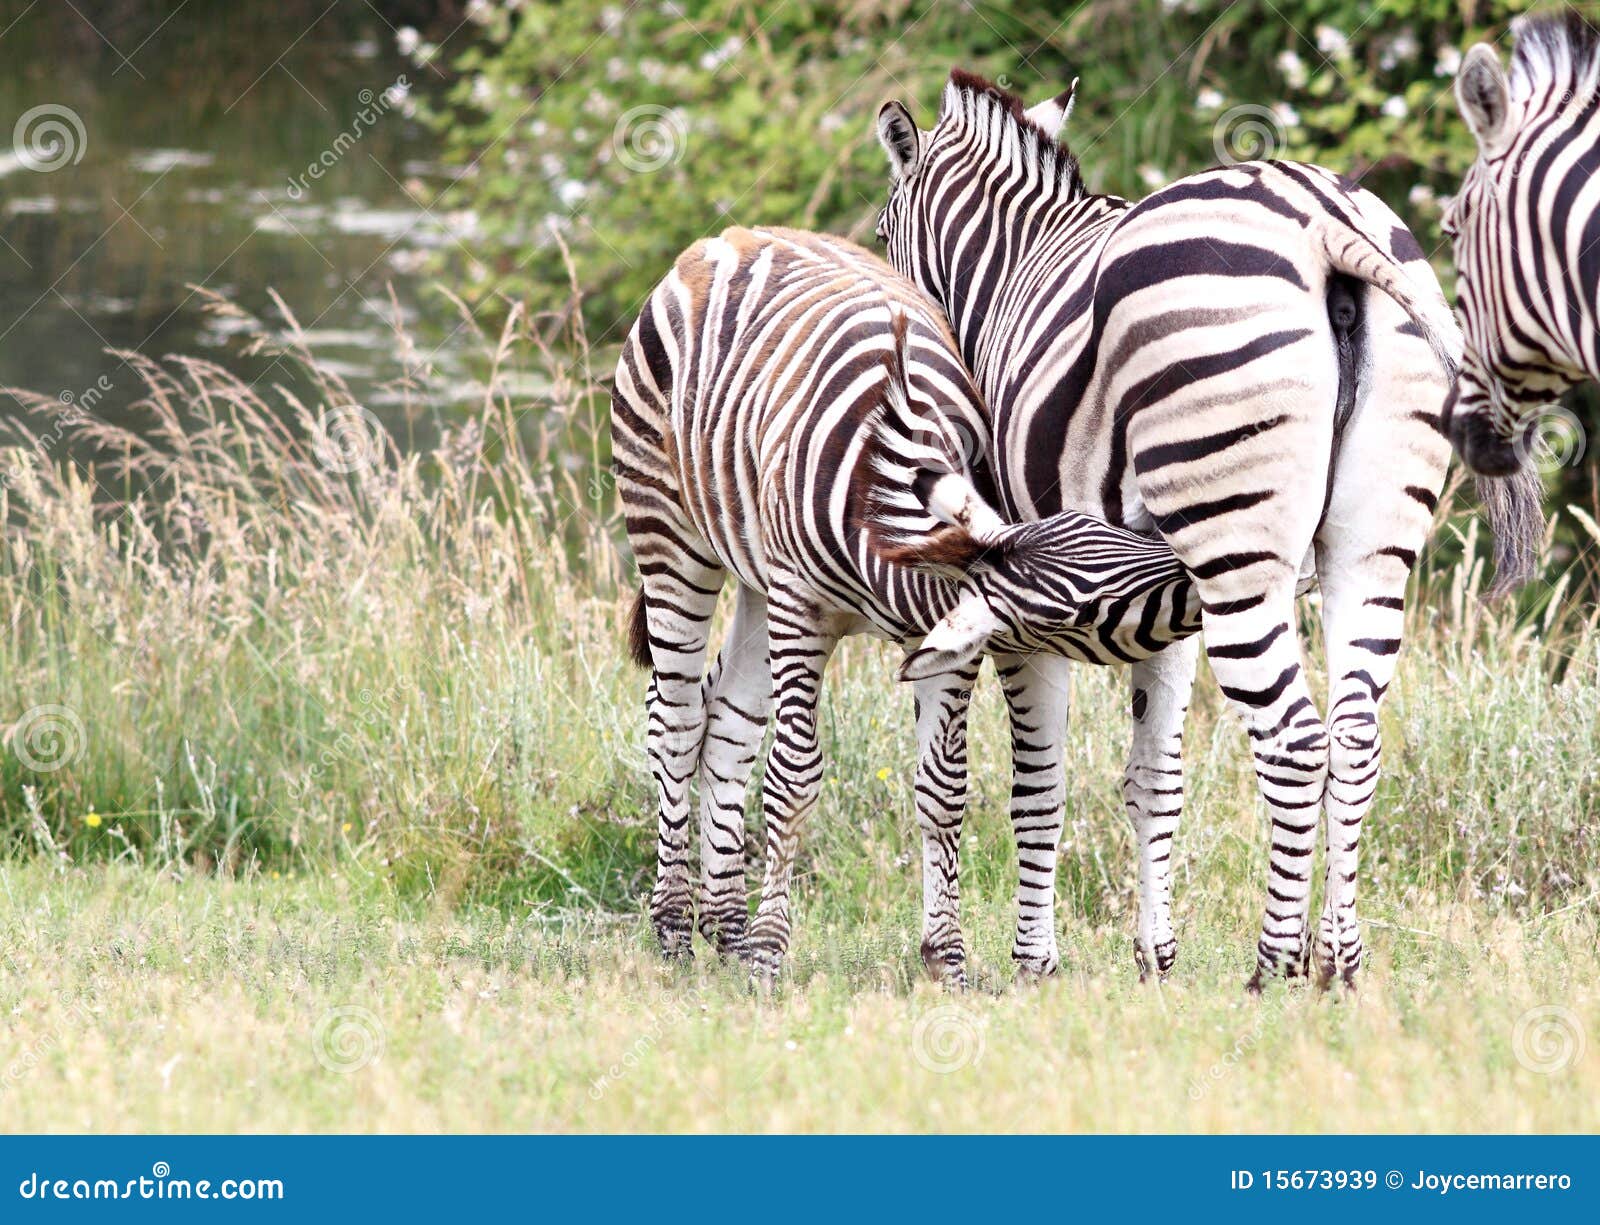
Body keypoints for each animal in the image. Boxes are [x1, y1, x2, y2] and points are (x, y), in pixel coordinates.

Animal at [612, 224, 1202, 983]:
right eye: (1098, 603)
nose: (1201, 565)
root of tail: (729, 237)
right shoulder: (802, 611)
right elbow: (794, 777)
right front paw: (772, 954)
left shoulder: (939, 640)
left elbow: (942, 789)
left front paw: (945, 957)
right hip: (669, 533)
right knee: (676, 722)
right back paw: (676, 928)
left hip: (755, 576)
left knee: (731, 717)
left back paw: (728, 926)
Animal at [873, 71, 1539, 989]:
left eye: (881, 234)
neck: (1012, 265)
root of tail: (1325, 217)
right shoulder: (1161, 601)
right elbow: (1153, 779)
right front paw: (1156, 957)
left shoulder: (1027, 597)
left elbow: (1037, 787)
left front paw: (1033, 962)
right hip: (1369, 547)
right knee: (1355, 738)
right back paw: (1338, 963)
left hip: (1237, 552)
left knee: (1295, 741)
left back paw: (1272, 969)